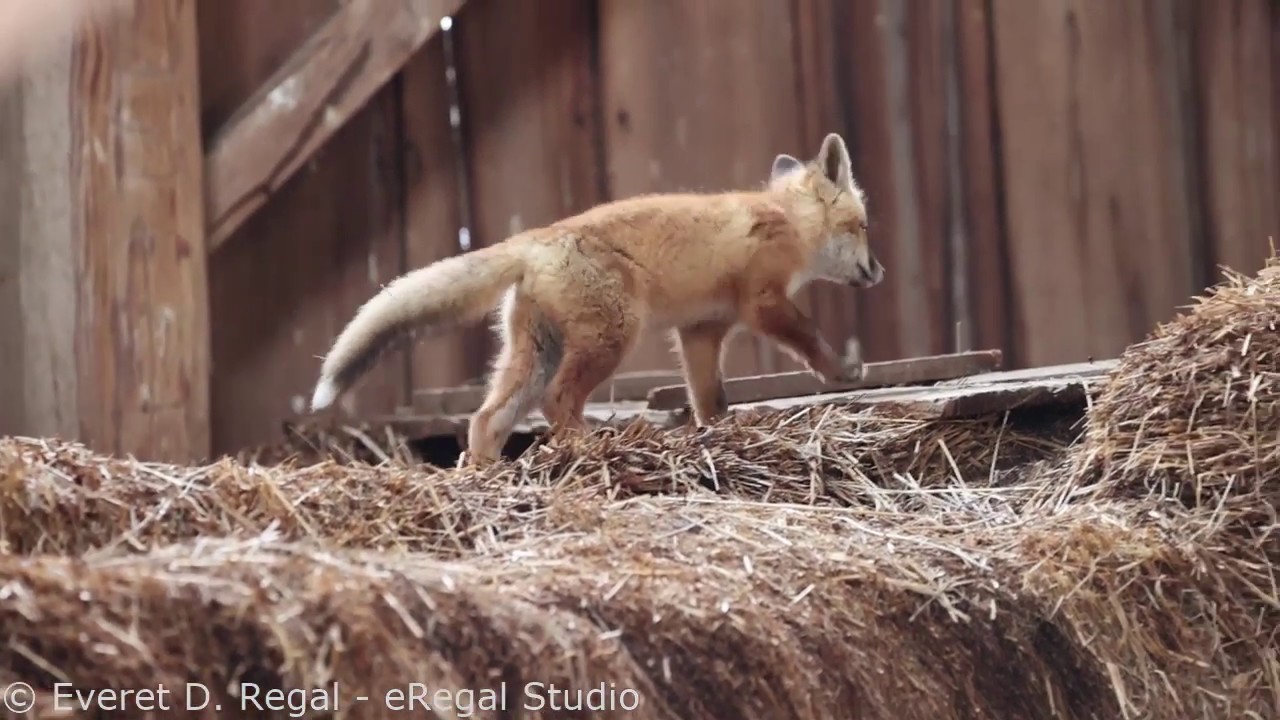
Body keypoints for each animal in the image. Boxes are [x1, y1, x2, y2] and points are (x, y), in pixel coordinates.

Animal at [309, 132, 884, 465]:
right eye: (864, 227)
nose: (879, 271)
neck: (790, 220)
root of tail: (535, 238)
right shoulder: (764, 301)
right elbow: (811, 340)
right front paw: (844, 372)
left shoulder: (701, 331)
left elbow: (709, 400)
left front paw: (720, 436)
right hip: (610, 338)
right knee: (556, 402)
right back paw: (590, 448)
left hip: (534, 353)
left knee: (485, 419)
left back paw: (487, 476)